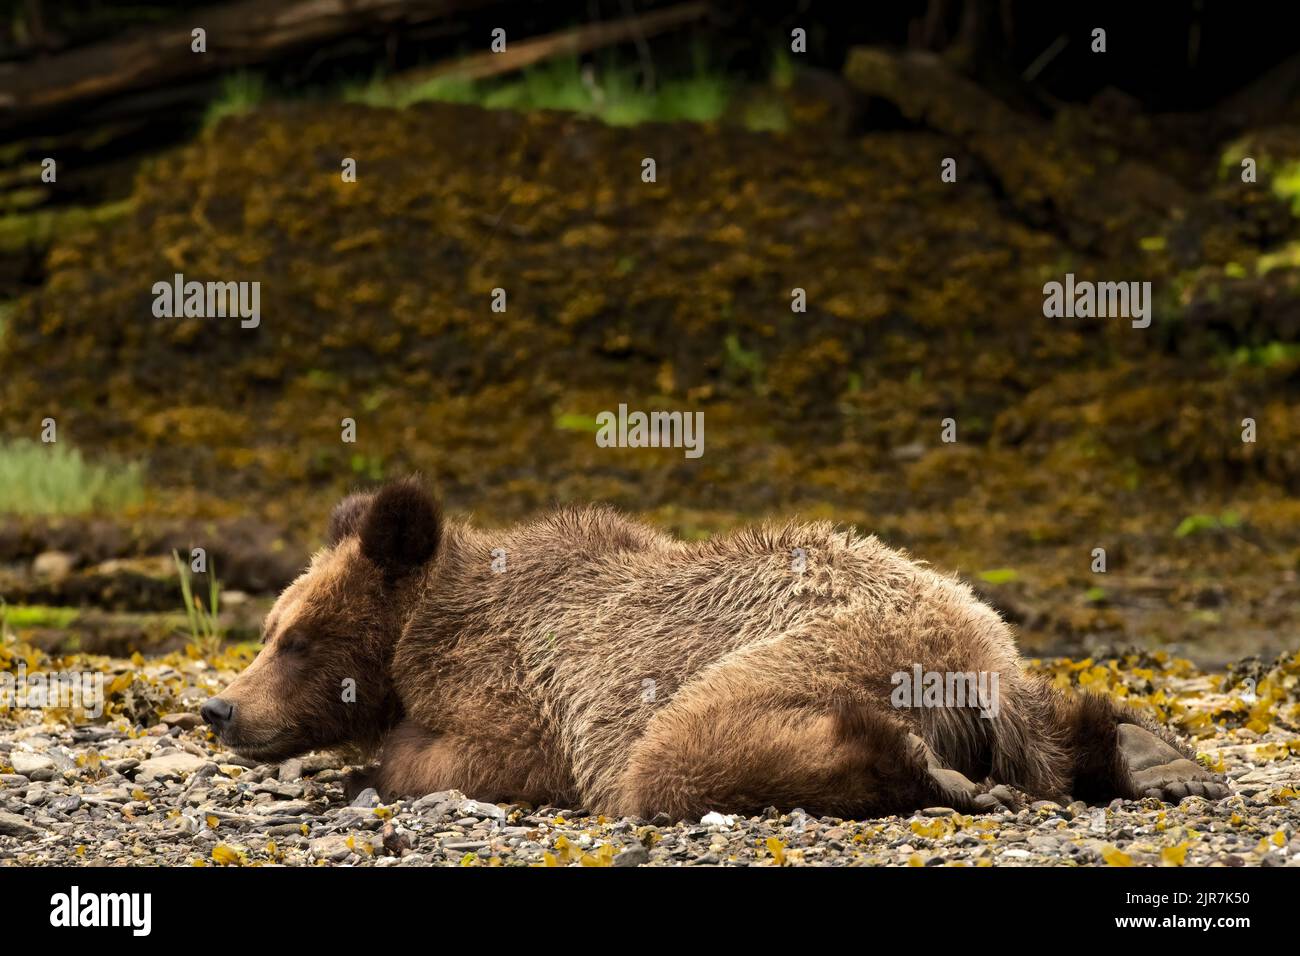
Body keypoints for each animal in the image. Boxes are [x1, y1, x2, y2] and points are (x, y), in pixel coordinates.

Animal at [202, 476, 1229, 819]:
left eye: (296, 641)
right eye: (269, 632)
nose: (218, 707)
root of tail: (971, 674)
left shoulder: (529, 689)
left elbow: (464, 756)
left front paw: (368, 765)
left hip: (801, 646)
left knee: (677, 756)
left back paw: (929, 772)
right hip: (996, 657)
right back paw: (1155, 756)